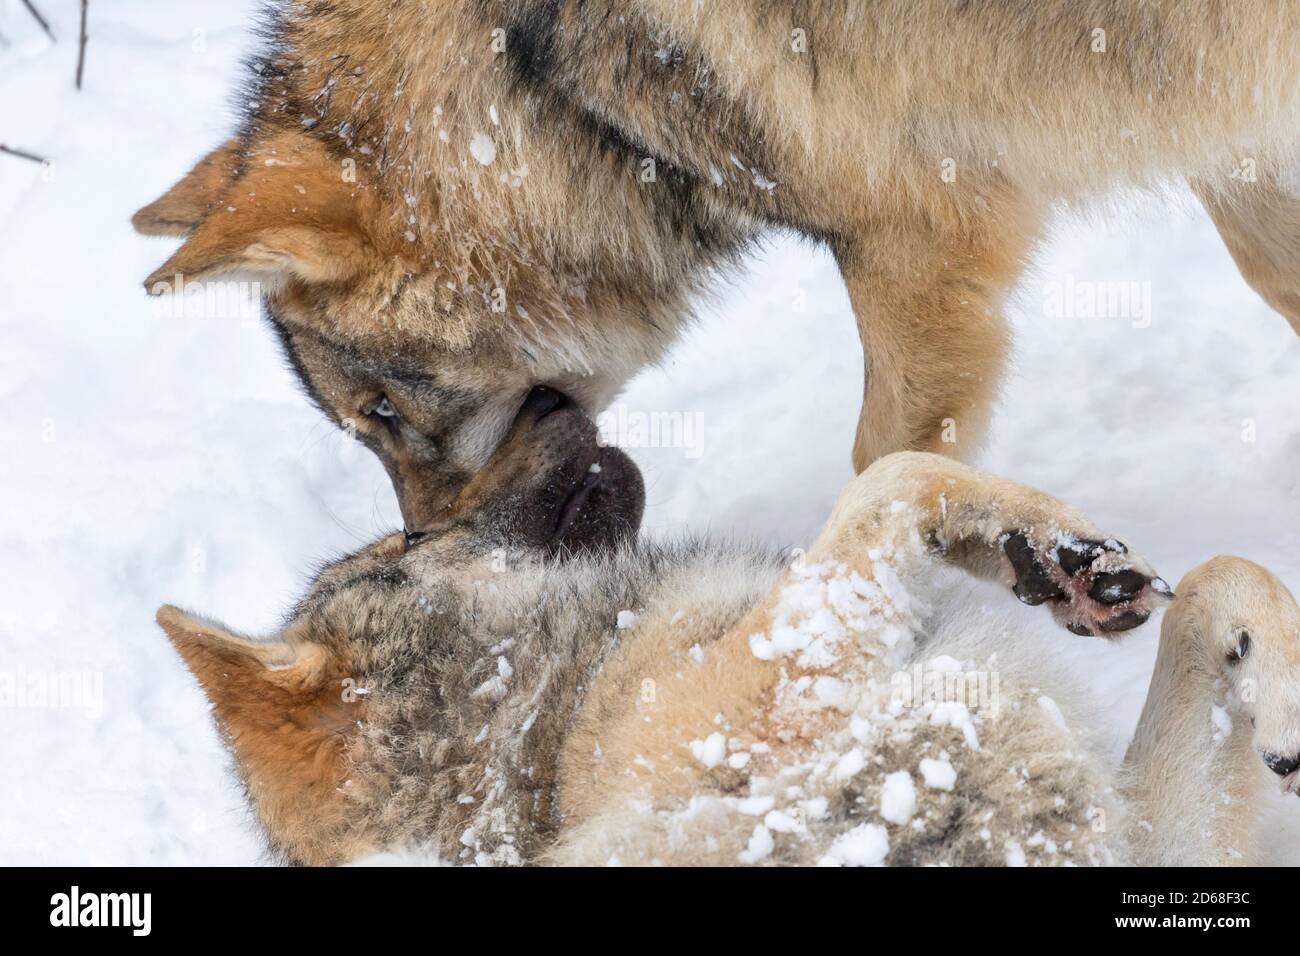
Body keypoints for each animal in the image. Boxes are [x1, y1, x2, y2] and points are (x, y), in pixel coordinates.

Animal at [133, 0, 1300, 530]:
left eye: (379, 413)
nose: (432, 544)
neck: (540, 80)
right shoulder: (1240, 124)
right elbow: (1278, 281)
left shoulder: (914, 253)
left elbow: (879, 465)